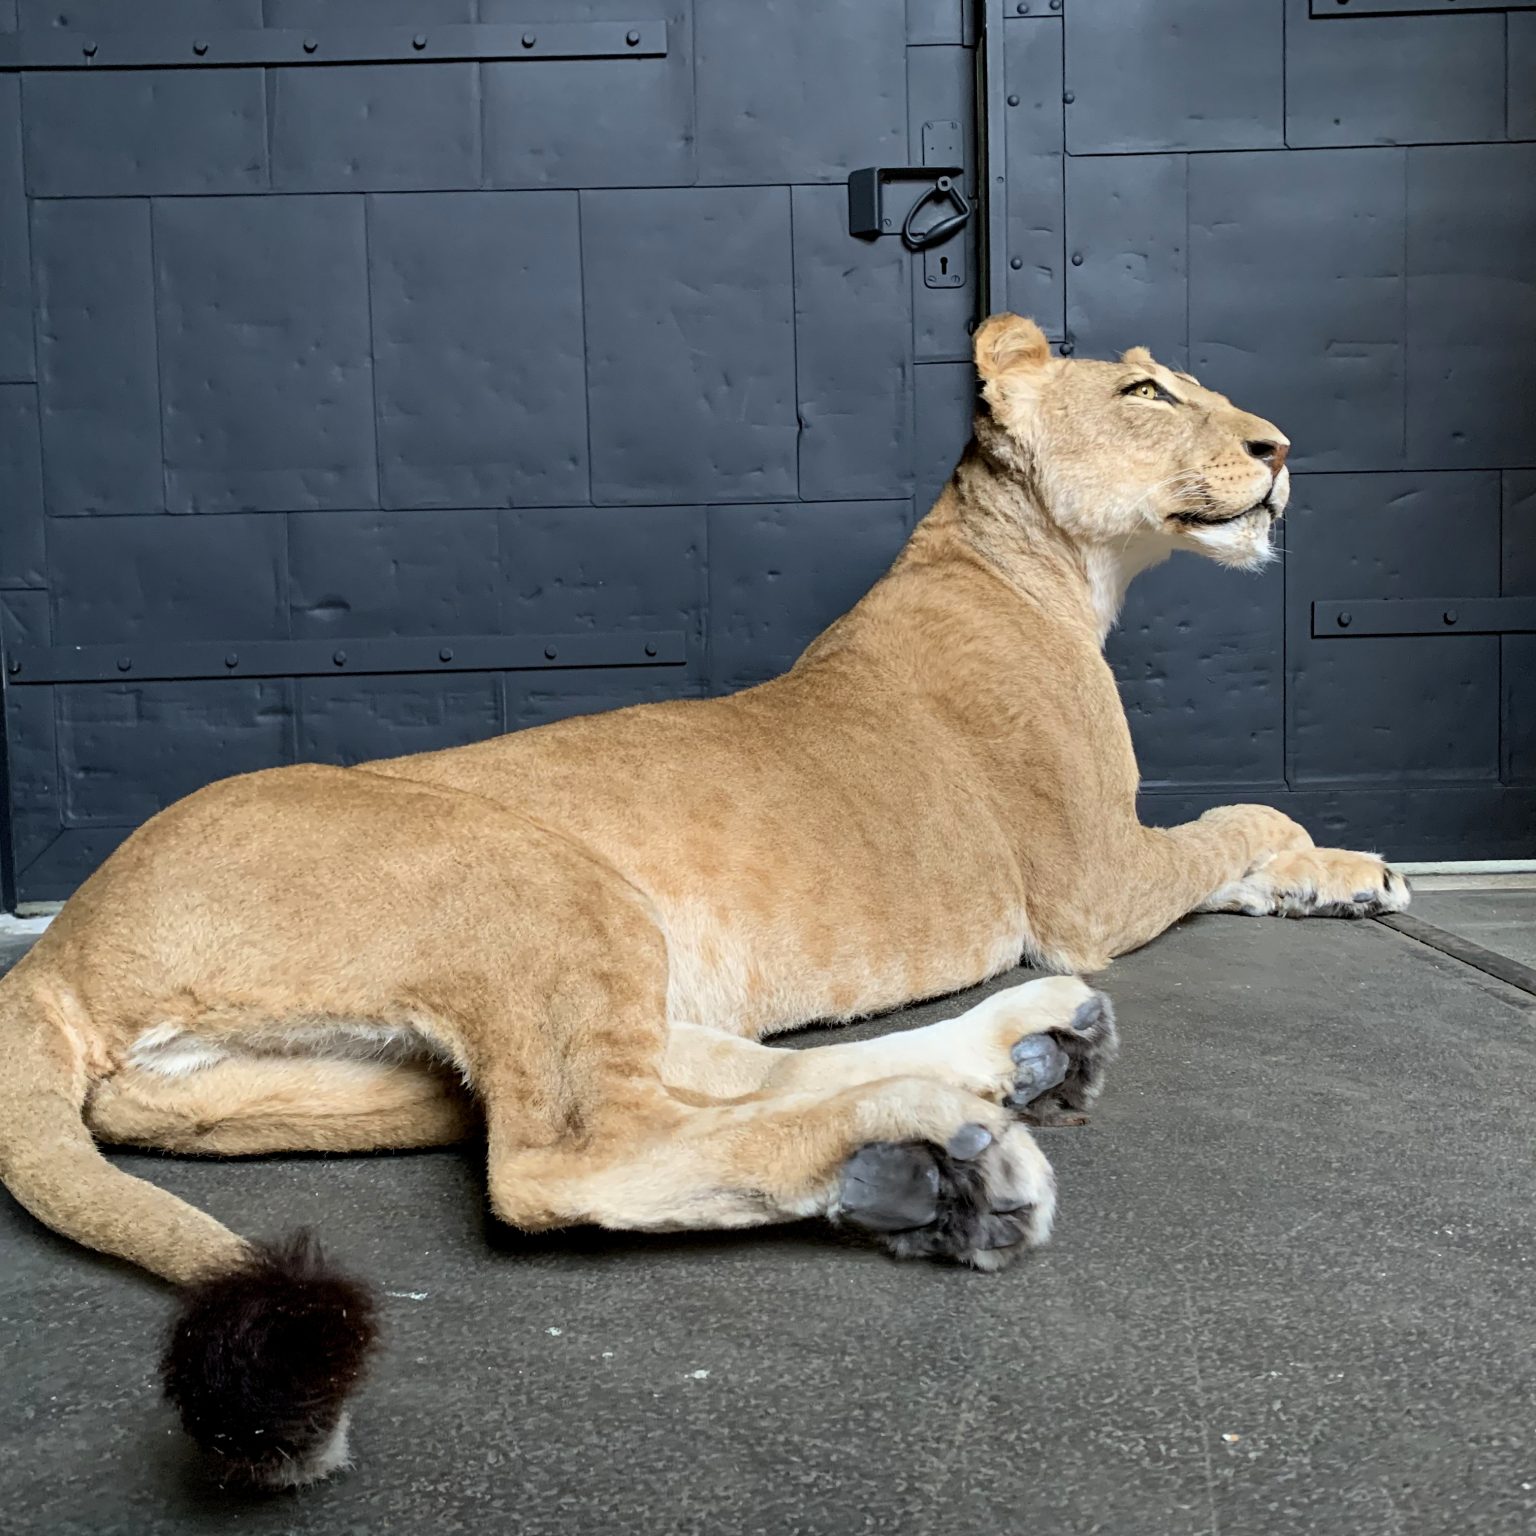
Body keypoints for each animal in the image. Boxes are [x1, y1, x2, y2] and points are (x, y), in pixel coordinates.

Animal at [0, 315, 1407, 1487]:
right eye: (1147, 390)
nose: (1282, 450)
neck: (1042, 569)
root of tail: (53, 957)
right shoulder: (1091, 886)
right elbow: (1240, 822)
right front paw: (1346, 868)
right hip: (537, 872)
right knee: (570, 1156)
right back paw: (931, 1164)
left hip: (417, 1048)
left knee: (704, 1071)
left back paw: (1015, 1057)